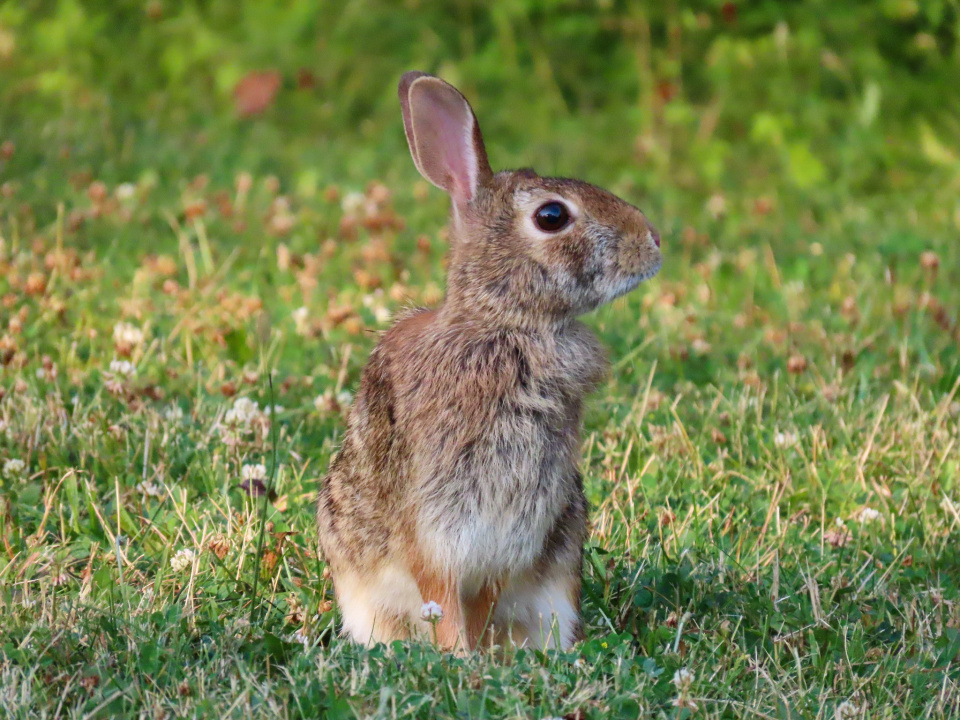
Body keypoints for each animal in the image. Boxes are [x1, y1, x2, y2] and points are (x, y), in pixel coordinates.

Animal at [317, 71, 662, 652]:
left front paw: (473, 654)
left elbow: (481, 600)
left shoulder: (516, 530)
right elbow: (440, 595)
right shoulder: (433, 523)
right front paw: (458, 656)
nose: (653, 242)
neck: (507, 328)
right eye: (552, 216)